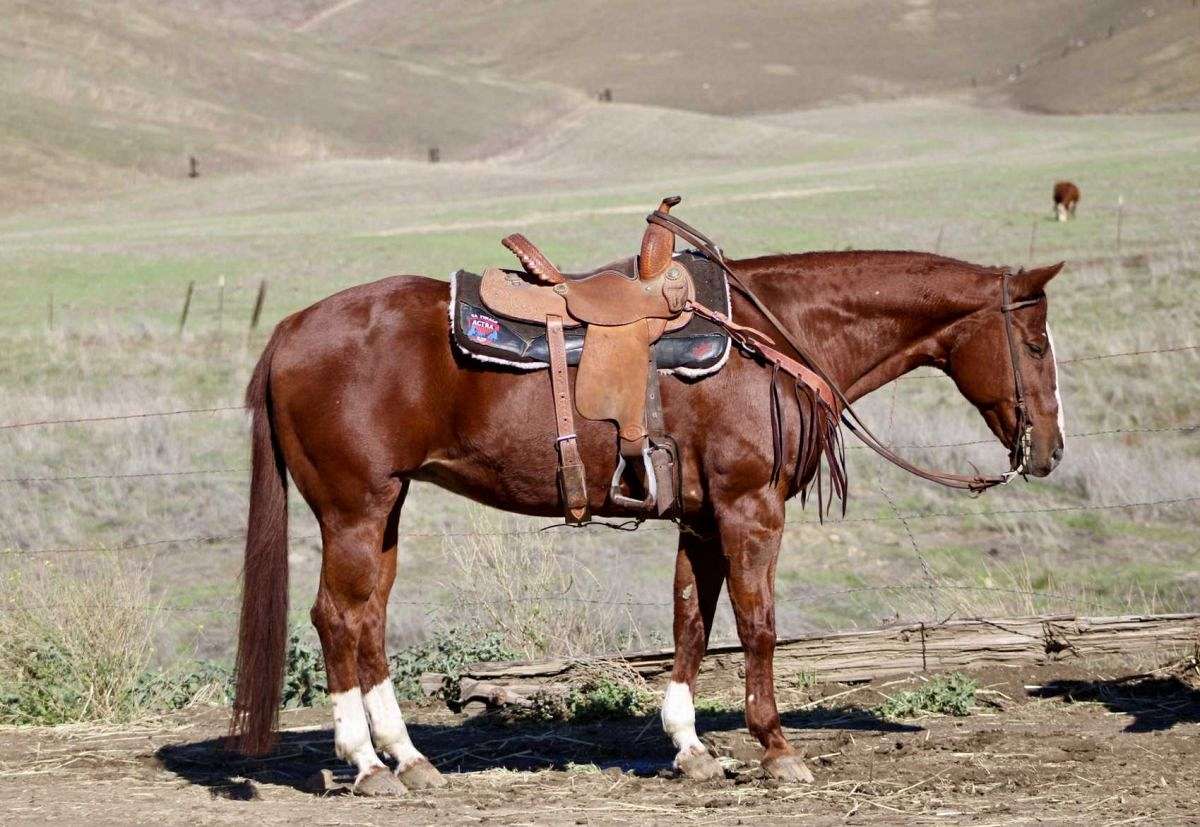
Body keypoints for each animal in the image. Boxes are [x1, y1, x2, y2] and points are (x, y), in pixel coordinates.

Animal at [228, 247, 1066, 793]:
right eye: (1032, 341)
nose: (1049, 450)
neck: (774, 340)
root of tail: (289, 332)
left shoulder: (701, 520)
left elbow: (691, 620)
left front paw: (690, 747)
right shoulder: (749, 509)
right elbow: (757, 626)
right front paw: (776, 748)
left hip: (387, 508)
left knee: (368, 618)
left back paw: (410, 758)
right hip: (354, 508)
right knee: (338, 616)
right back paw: (367, 763)